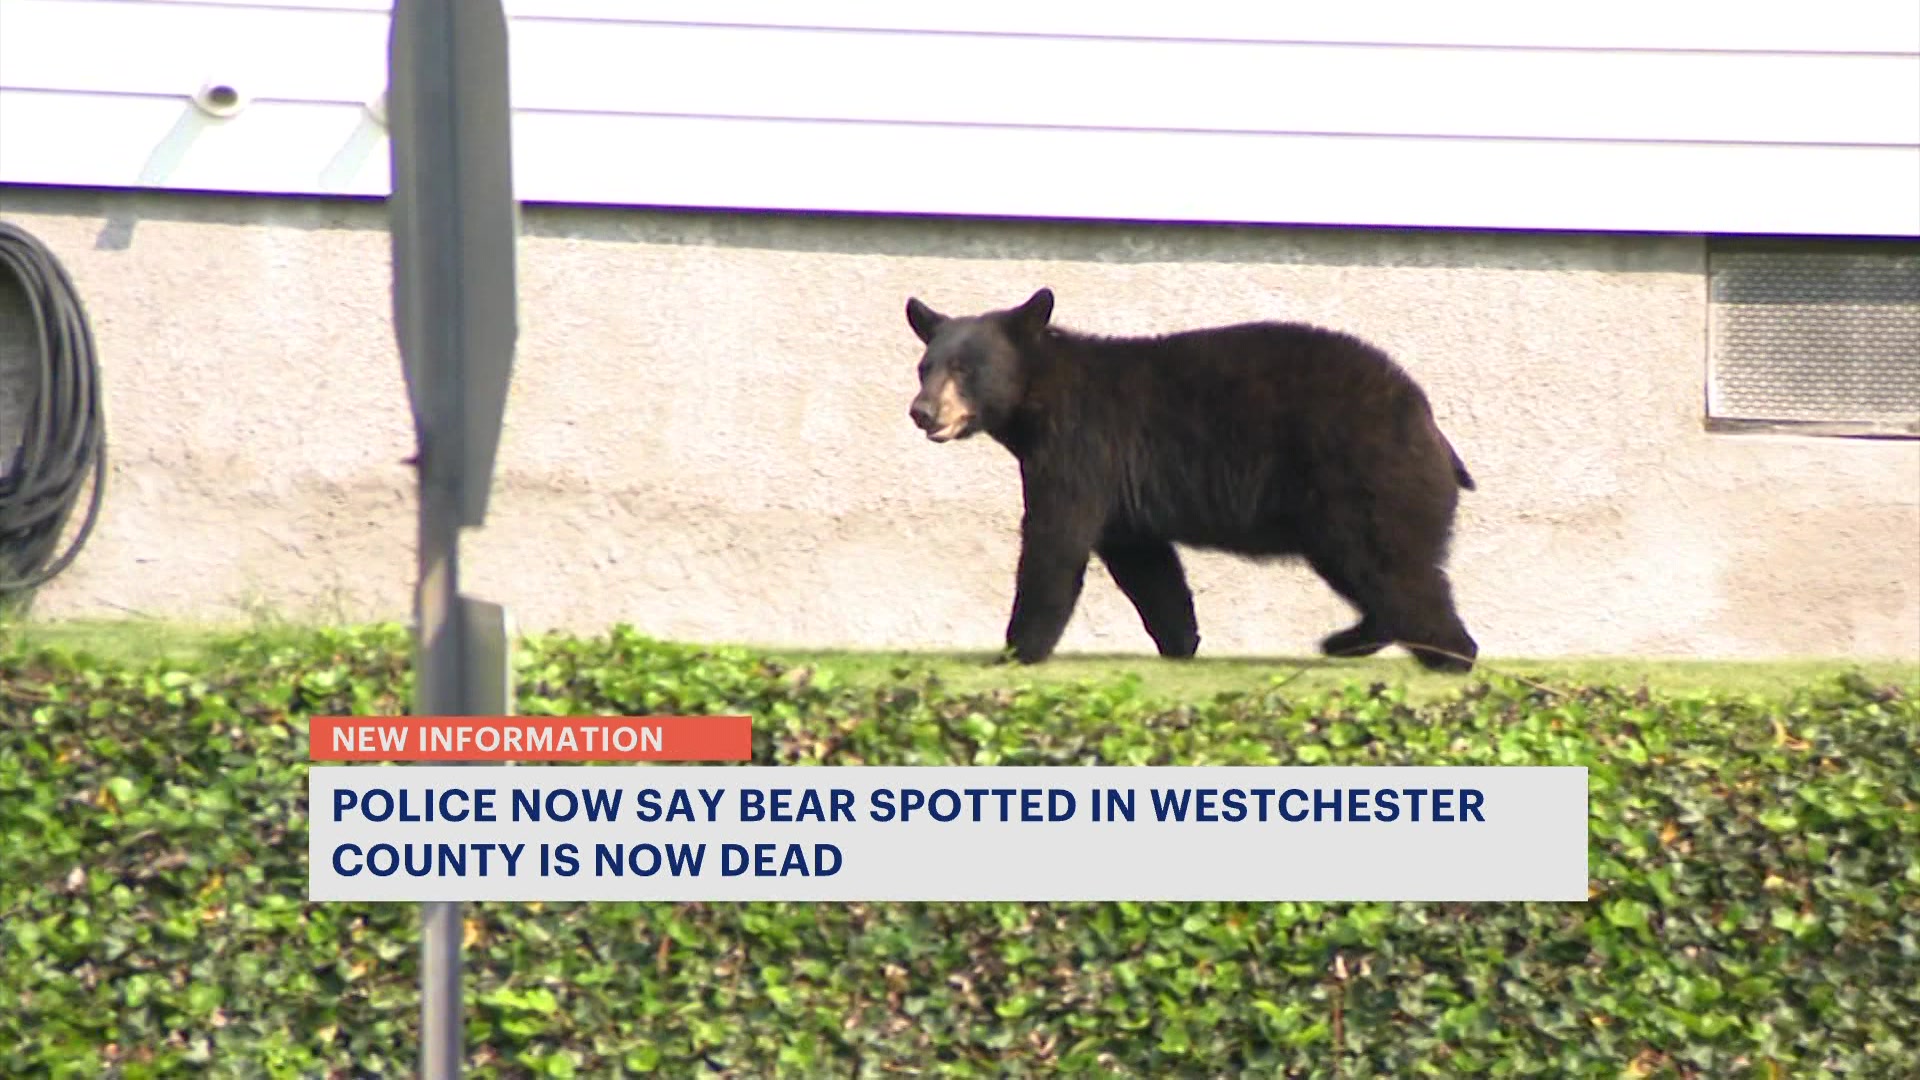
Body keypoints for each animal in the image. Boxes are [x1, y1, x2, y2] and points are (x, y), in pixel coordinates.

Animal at [903, 286, 1480, 674]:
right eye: (925, 367)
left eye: (963, 368)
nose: (922, 412)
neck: (1039, 395)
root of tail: (1429, 422)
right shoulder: (1123, 491)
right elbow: (1146, 564)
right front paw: (1181, 640)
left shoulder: (1082, 446)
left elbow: (1056, 540)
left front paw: (1016, 649)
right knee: (1375, 574)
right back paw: (1348, 640)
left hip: (1365, 476)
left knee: (1393, 566)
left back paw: (1452, 654)